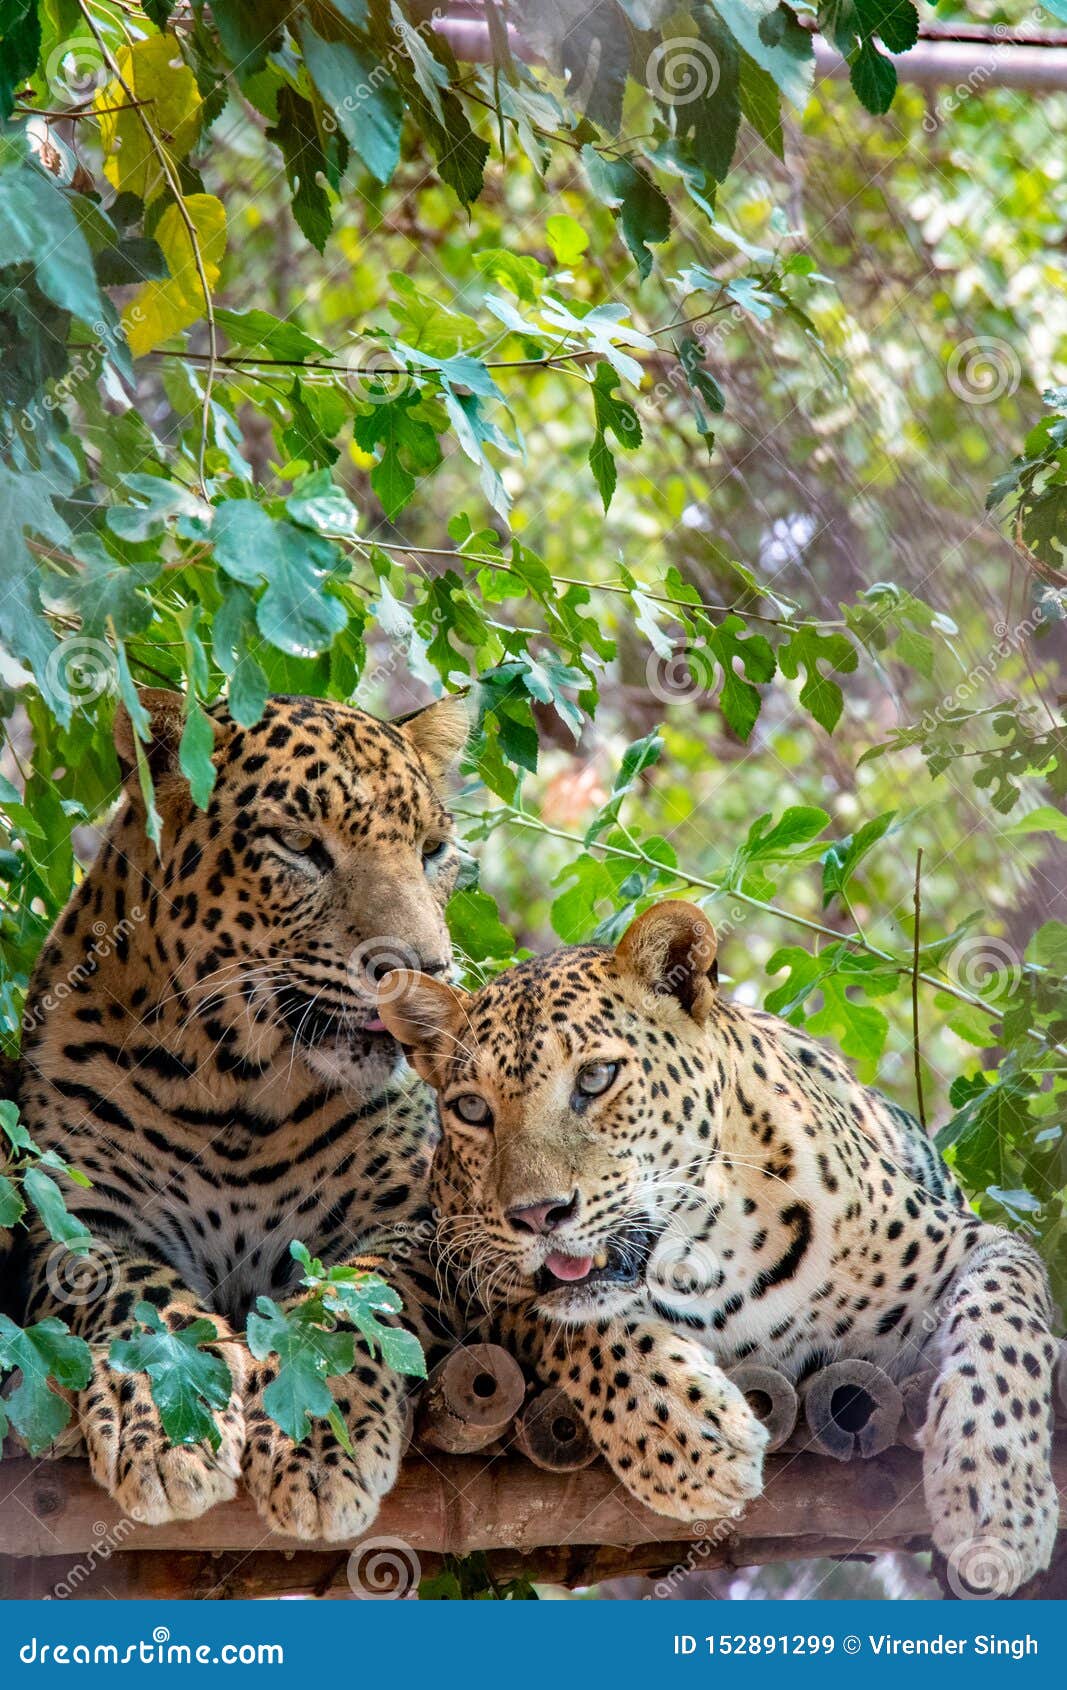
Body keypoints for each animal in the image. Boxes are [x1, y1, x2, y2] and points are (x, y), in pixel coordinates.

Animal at [15, 686, 468, 1541]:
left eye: (432, 852)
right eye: (297, 844)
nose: (423, 970)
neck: (236, 1091)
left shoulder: (427, 1220)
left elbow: (356, 1304)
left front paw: (320, 1443)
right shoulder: (72, 1219)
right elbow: (141, 1298)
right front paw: (168, 1428)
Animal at [379, 898, 1060, 1594]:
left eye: (595, 1077)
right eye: (472, 1109)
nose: (536, 1214)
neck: (704, 1263)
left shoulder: (969, 1243)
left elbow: (1003, 1327)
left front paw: (997, 1496)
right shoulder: (467, 1271)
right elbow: (579, 1327)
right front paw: (687, 1437)